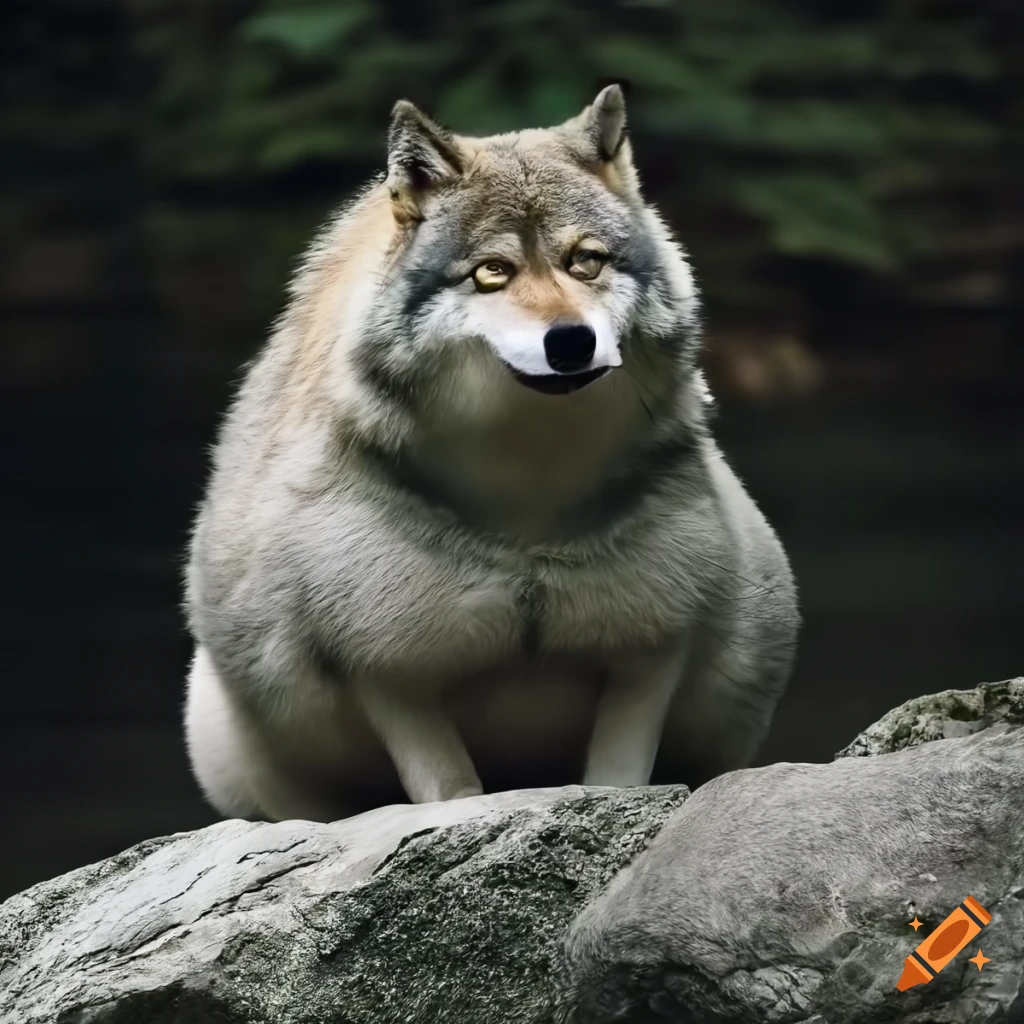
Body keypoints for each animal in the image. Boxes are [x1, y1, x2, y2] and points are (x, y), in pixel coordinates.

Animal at [183, 85, 800, 822]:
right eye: (492, 273)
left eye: (585, 261)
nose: (571, 341)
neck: (529, 497)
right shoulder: (388, 674)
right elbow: (449, 793)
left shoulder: (650, 652)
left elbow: (621, 782)